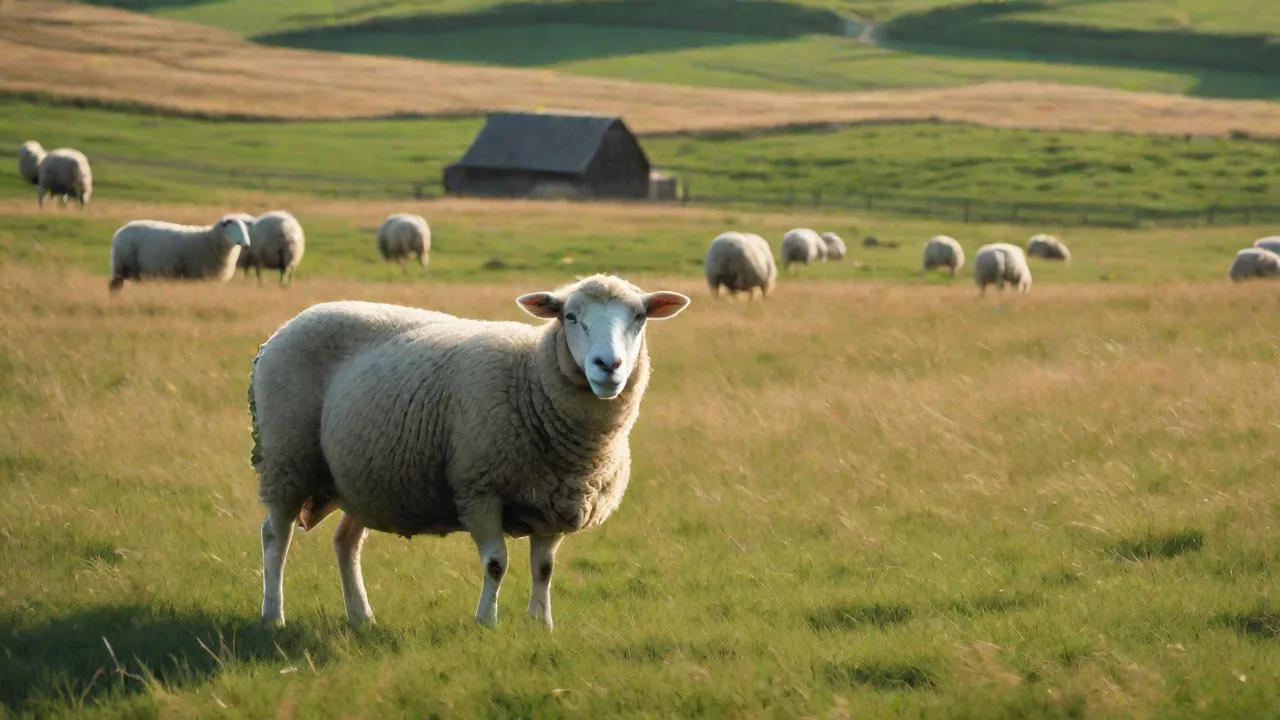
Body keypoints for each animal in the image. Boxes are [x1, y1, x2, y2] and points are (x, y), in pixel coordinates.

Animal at [108, 215, 251, 293]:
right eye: (234, 228)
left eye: (245, 229)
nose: (247, 244)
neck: (210, 239)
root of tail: (120, 231)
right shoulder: (195, 276)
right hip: (121, 266)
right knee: (114, 287)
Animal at [247, 274, 691, 630]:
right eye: (569, 316)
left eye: (639, 317)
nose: (608, 366)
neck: (530, 380)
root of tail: (290, 324)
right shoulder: (479, 489)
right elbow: (496, 563)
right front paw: (486, 623)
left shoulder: (556, 502)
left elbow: (544, 569)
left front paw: (541, 624)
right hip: (286, 457)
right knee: (275, 536)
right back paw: (273, 615)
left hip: (361, 478)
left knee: (345, 542)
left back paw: (361, 616)